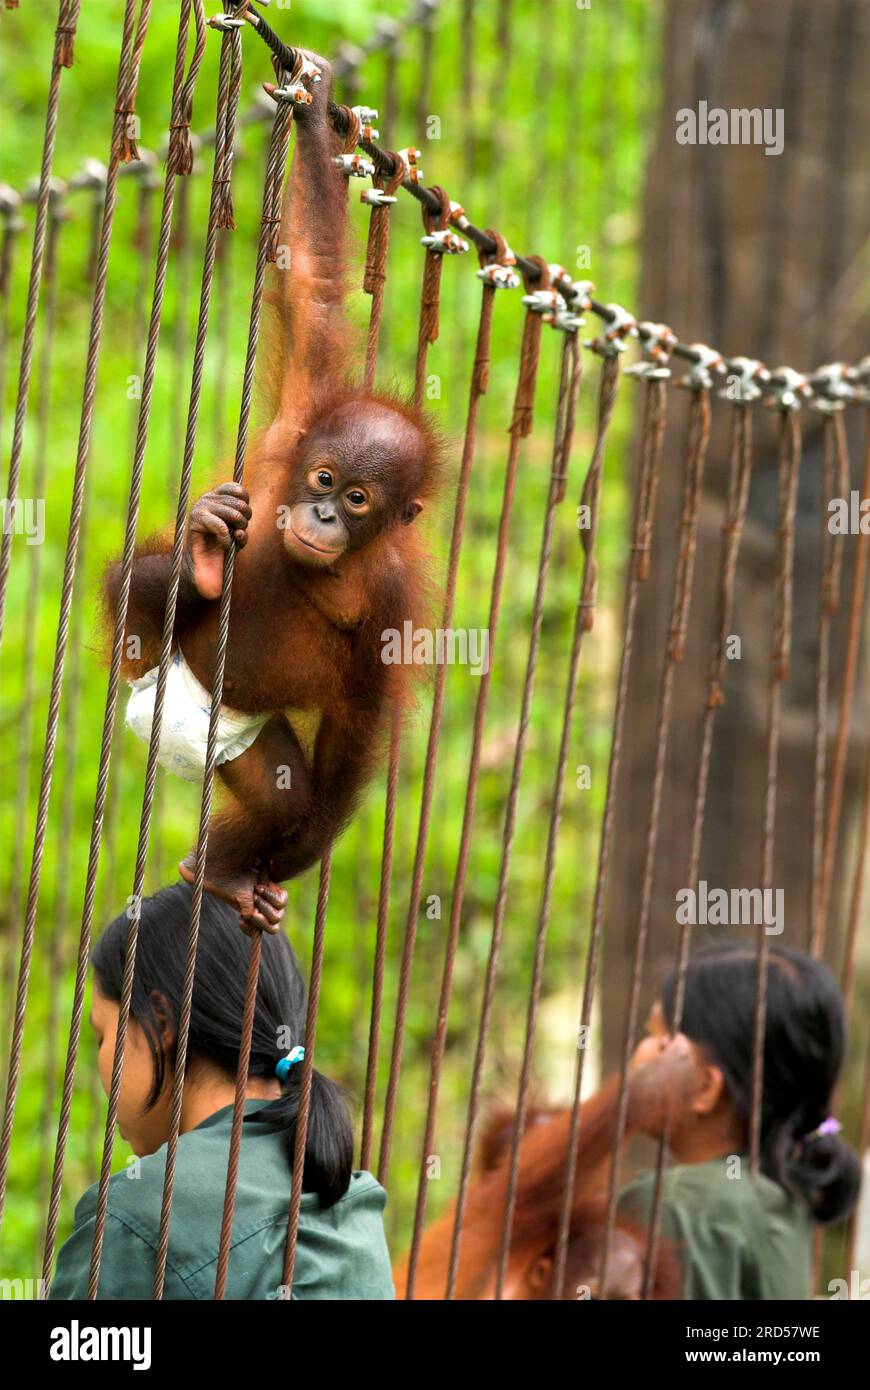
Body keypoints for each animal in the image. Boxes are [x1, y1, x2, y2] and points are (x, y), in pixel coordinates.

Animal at [105, 51, 443, 932]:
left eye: (358, 501)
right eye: (323, 478)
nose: (320, 512)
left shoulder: (392, 597)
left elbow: (359, 720)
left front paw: (296, 852)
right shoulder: (303, 411)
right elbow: (315, 283)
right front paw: (317, 110)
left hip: (246, 744)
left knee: (285, 799)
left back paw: (219, 873)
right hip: (150, 660)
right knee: (137, 586)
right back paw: (200, 556)